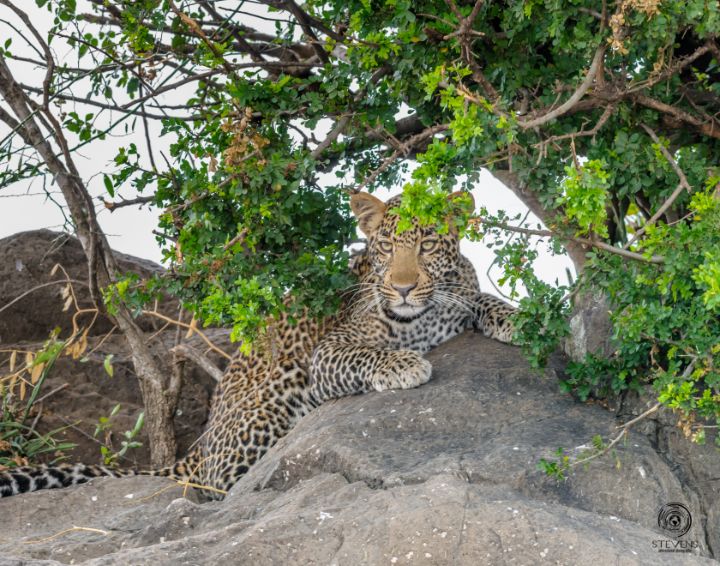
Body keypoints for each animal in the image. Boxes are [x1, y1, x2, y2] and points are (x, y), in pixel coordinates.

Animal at [0, 191, 515, 500]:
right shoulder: (329, 352)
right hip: (273, 399)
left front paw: (514, 318)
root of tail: (198, 446)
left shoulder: (459, 294)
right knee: (224, 486)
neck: (423, 316)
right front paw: (403, 364)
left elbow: (479, 298)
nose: (404, 287)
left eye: (427, 244)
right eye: (386, 247)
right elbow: (364, 352)